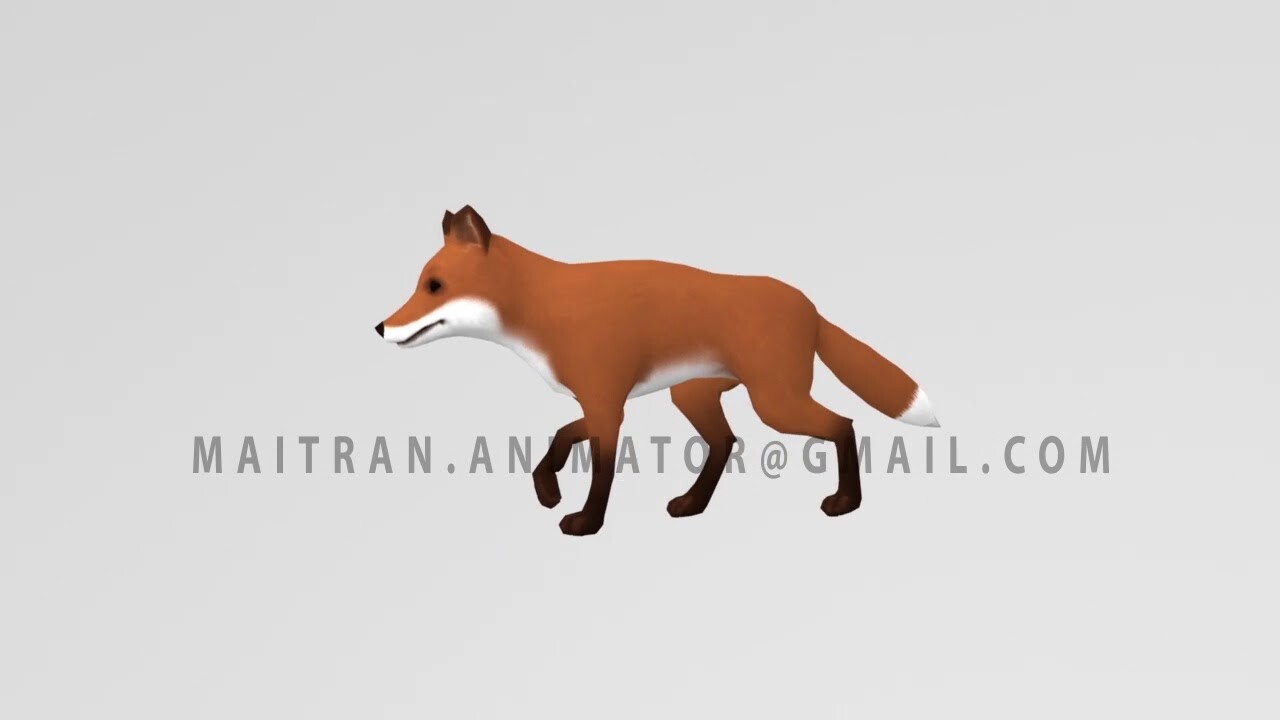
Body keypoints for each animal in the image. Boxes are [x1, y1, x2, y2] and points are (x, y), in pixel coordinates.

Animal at [375, 205, 939, 536]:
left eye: (434, 286)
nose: (380, 327)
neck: (544, 309)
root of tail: (809, 304)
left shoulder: (606, 404)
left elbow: (600, 471)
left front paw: (585, 521)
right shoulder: (597, 400)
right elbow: (560, 438)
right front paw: (548, 489)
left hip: (775, 402)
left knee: (843, 425)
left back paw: (845, 502)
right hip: (692, 395)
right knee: (725, 443)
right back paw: (692, 504)